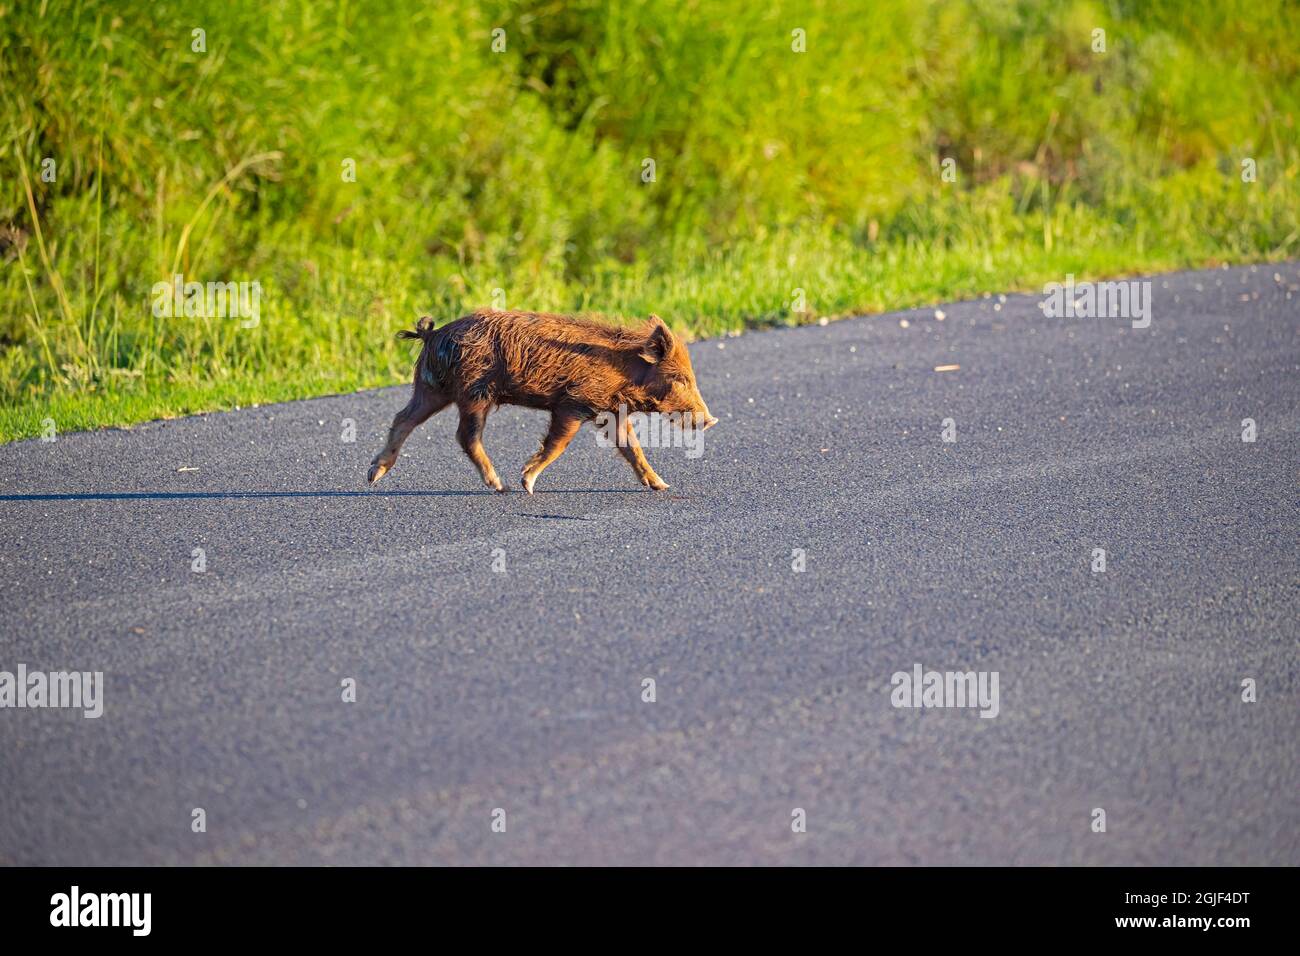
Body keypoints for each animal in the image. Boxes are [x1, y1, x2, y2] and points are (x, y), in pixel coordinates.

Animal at [367, 310, 717, 493]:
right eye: (680, 379)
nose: (710, 420)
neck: (624, 370)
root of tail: (433, 334)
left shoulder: (611, 412)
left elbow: (633, 449)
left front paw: (662, 486)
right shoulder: (572, 404)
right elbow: (557, 444)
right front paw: (527, 483)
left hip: (431, 388)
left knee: (403, 418)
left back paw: (373, 476)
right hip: (474, 393)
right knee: (464, 436)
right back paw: (500, 486)